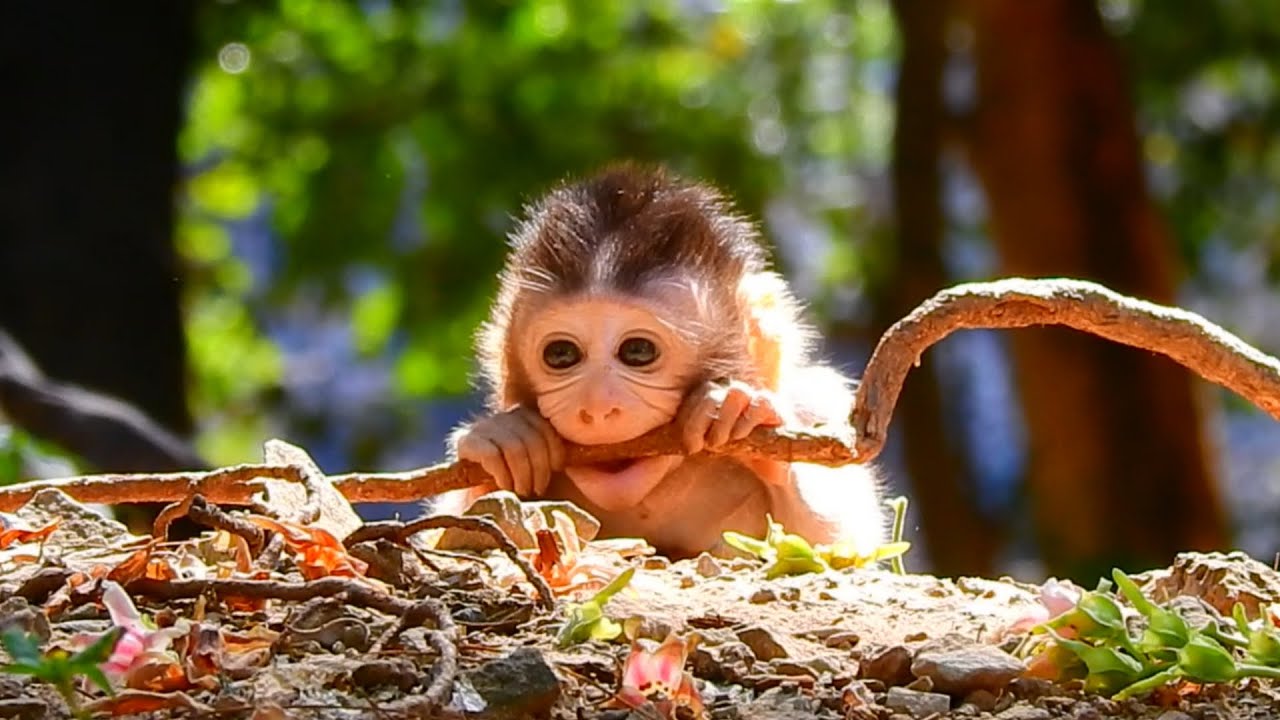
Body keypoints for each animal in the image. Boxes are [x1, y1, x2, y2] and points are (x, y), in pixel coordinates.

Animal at [437, 163, 884, 560]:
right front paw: (501, 438)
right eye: (561, 355)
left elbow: (847, 544)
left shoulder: (819, 402)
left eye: (637, 351)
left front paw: (741, 413)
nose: (596, 408)